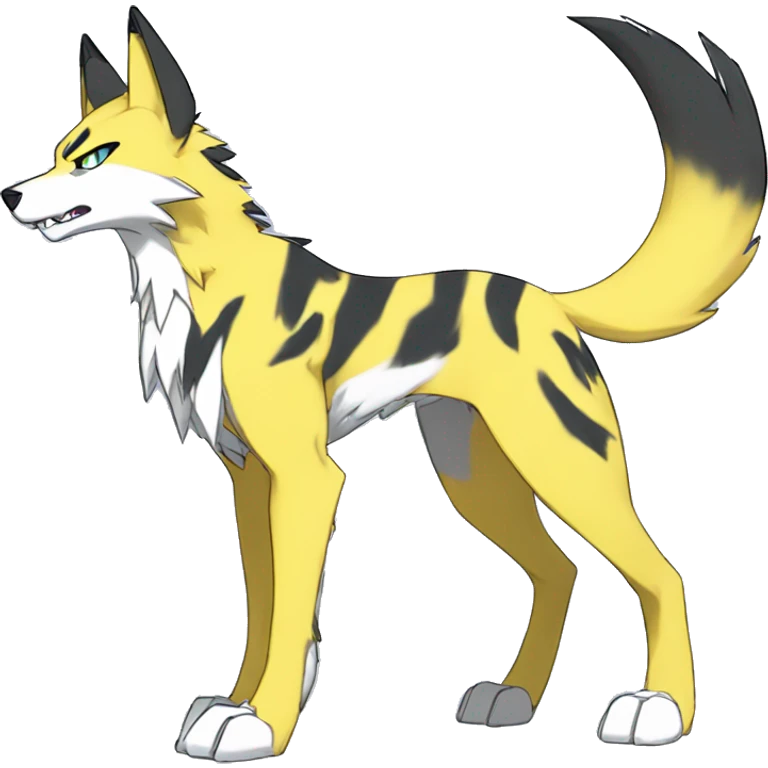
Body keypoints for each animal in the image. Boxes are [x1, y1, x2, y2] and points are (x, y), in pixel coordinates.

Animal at [1, 8, 764, 758]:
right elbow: (264, 608)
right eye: (61, 150)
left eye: (94, 157)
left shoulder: (307, 479)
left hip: (564, 463)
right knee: (558, 570)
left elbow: (289, 617)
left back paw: (659, 710)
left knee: (662, 574)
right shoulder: (250, 479)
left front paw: (263, 723)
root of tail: (548, 302)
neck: (205, 288)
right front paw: (232, 708)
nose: (9, 194)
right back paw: (514, 697)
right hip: (472, 477)